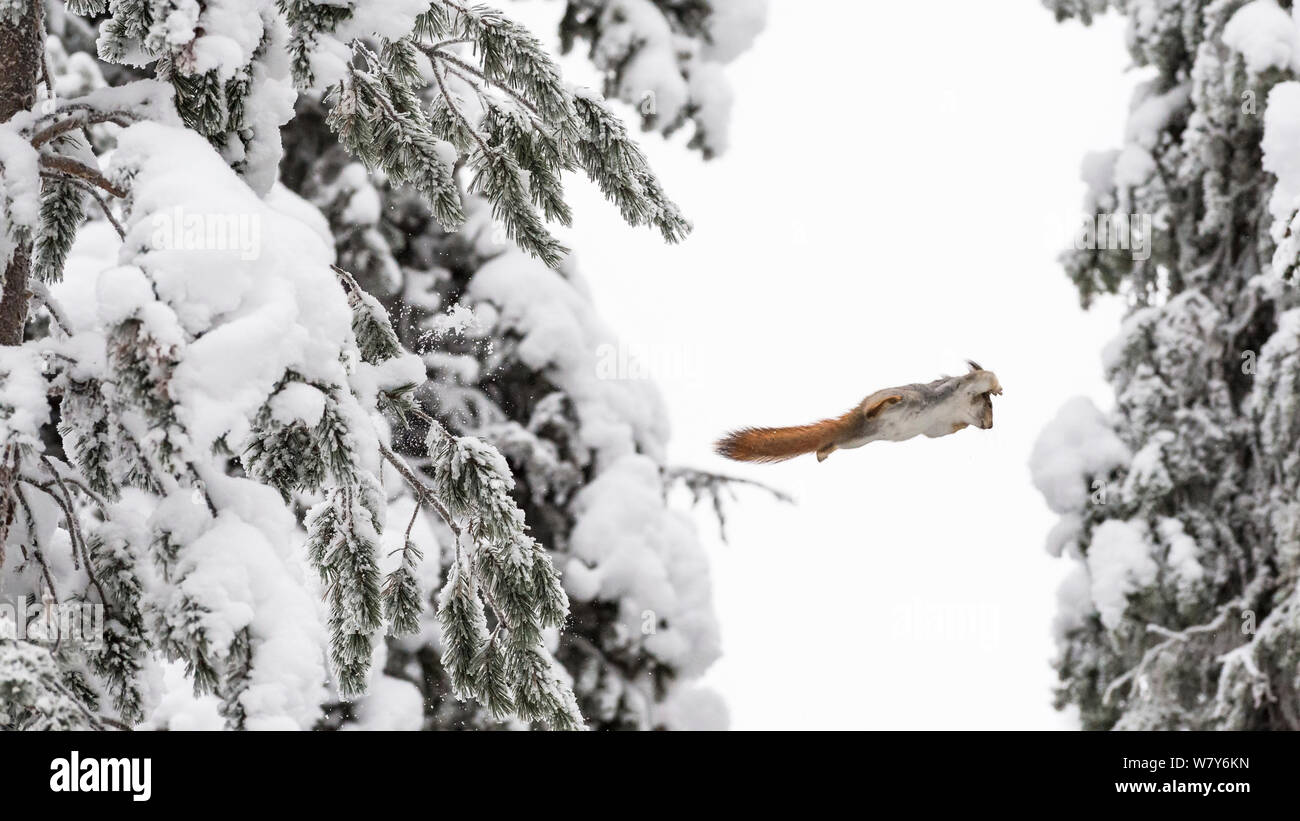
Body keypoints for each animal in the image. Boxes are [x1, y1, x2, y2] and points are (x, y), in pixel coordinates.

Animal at [715, 361, 1002, 463]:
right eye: (988, 406)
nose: (989, 426)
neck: (958, 408)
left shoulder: (940, 426)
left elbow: (943, 430)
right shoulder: (961, 386)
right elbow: (983, 376)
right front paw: (997, 388)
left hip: (855, 441)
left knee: (836, 441)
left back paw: (823, 451)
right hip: (894, 404)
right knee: (880, 405)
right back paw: (881, 404)